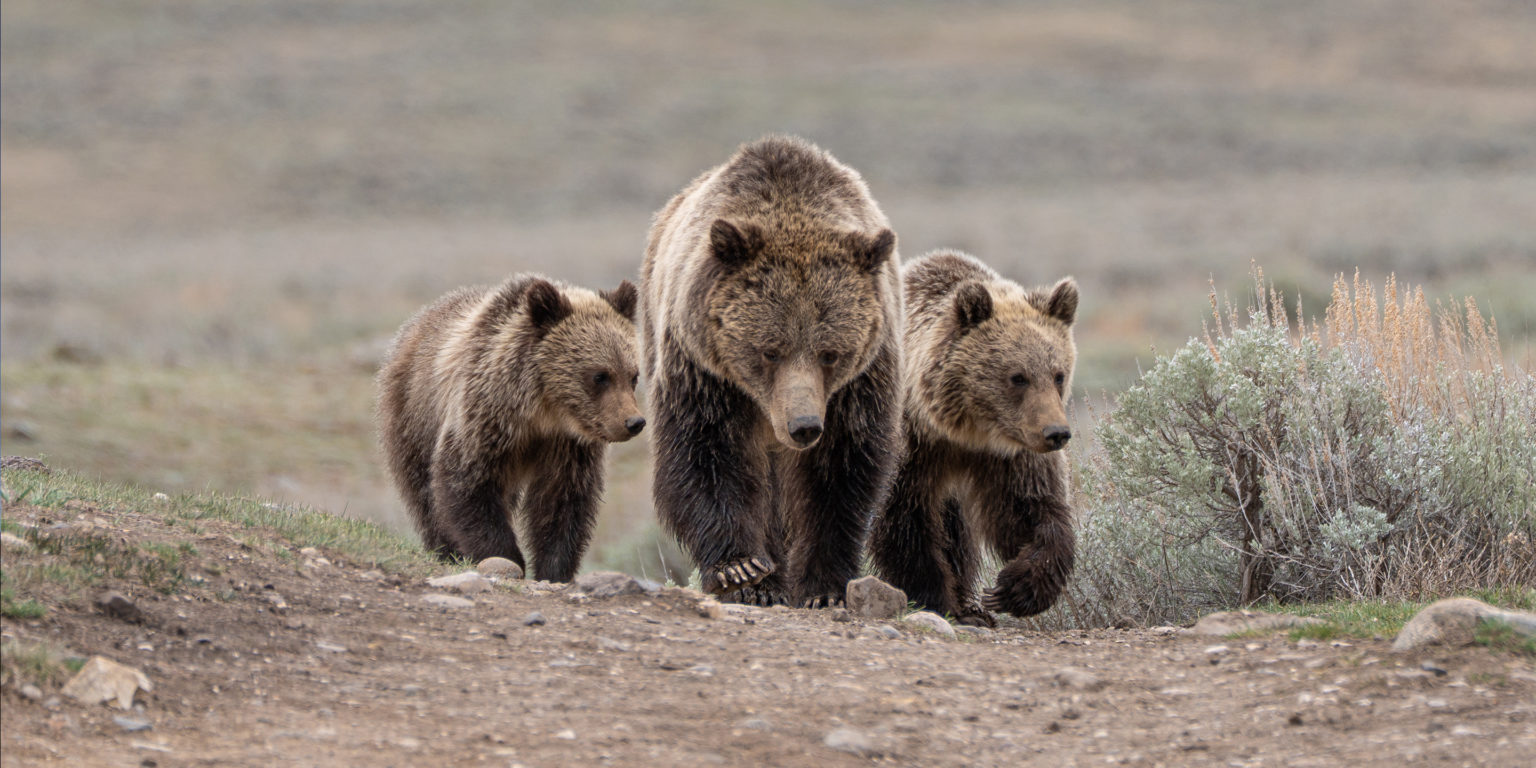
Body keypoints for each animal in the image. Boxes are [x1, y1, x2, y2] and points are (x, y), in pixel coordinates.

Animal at [376, 273, 644, 581]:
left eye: (633, 375)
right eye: (600, 376)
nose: (634, 422)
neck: (542, 412)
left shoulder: (567, 445)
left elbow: (562, 502)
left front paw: (554, 569)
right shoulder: (484, 418)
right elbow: (466, 483)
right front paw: (505, 558)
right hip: (413, 414)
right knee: (423, 494)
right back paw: (445, 550)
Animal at [639, 135, 903, 608]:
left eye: (830, 353)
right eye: (769, 350)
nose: (803, 426)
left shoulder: (859, 383)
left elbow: (840, 471)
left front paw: (824, 587)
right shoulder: (705, 372)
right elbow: (706, 453)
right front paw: (743, 571)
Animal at [869, 250, 1079, 627]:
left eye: (1058, 374)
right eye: (1018, 377)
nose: (1056, 433)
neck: (964, 432)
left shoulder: (1012, 455)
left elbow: (1032, 510)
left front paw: (1012, 589)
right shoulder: (913, 448)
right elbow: (904, 519)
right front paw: (939, 600)